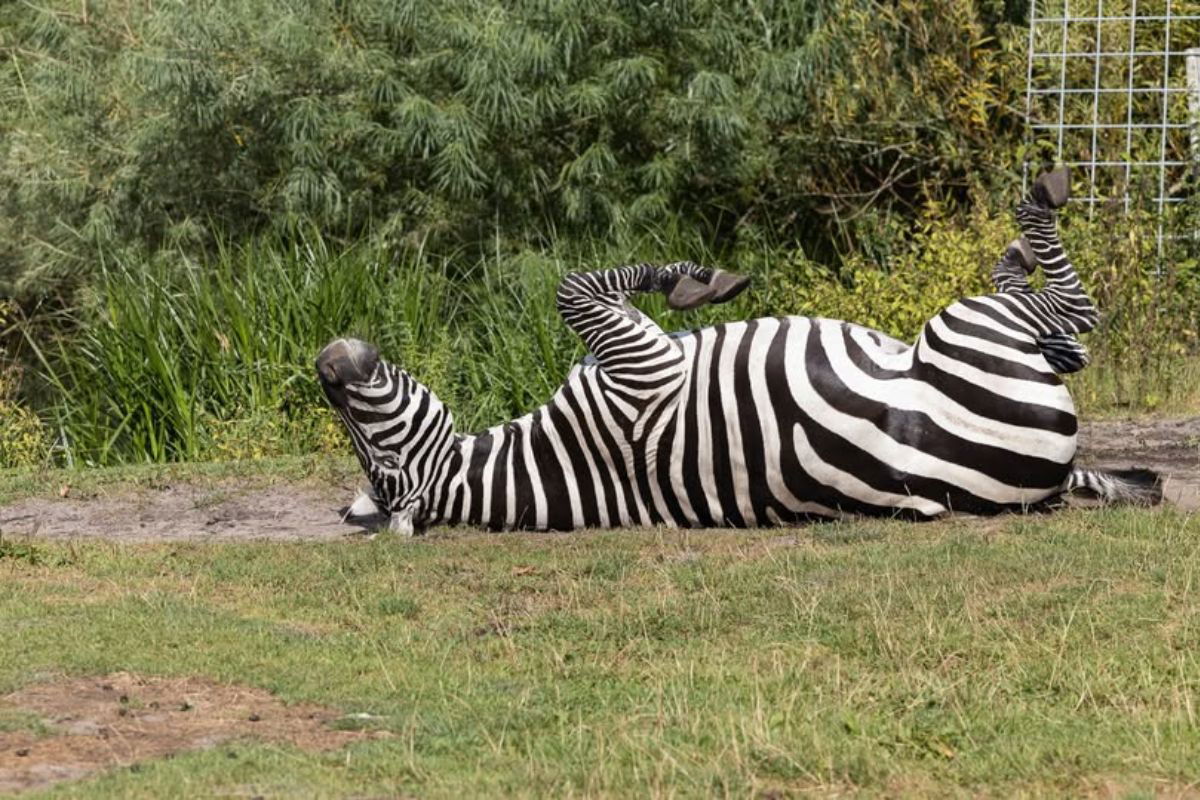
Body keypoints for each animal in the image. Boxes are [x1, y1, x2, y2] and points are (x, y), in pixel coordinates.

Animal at [316, 167, 1161, 534]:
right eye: (379, 461)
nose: (327, 364)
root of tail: (1049, 483)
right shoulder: (640, 360)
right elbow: (571, 283)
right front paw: (699, 282)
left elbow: (580, 282)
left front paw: (689, 279)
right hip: (963, 332)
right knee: (1069, 309)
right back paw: (1038, 211)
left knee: (1060, 325)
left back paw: (1022, 257)